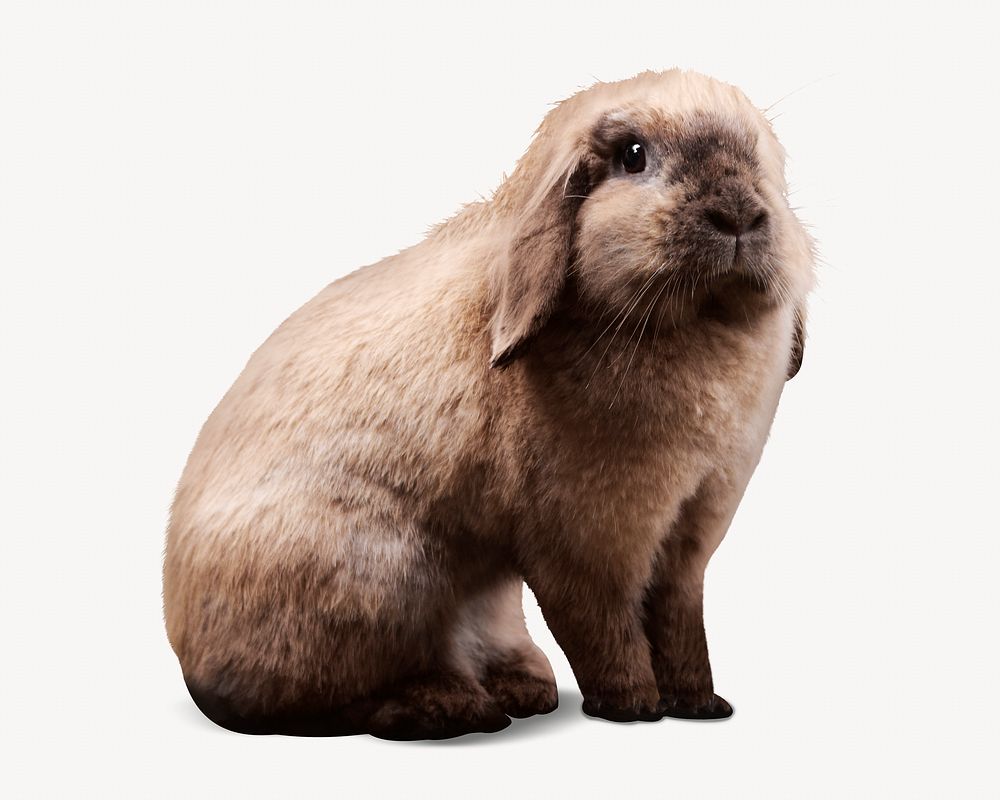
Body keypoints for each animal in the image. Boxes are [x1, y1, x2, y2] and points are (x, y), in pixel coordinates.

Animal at [163, 68, 815, 740]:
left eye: (757, 155)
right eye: (633, 156)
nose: (737, 213)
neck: (696, 326)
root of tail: (185, 644)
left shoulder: (690, 540)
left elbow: (682, 627)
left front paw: (702, 705)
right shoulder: (585, 544)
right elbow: (604, 628)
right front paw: (633, 707)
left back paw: (519, 690)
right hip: (380, 582)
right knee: (333, 696)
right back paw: (452, 707)